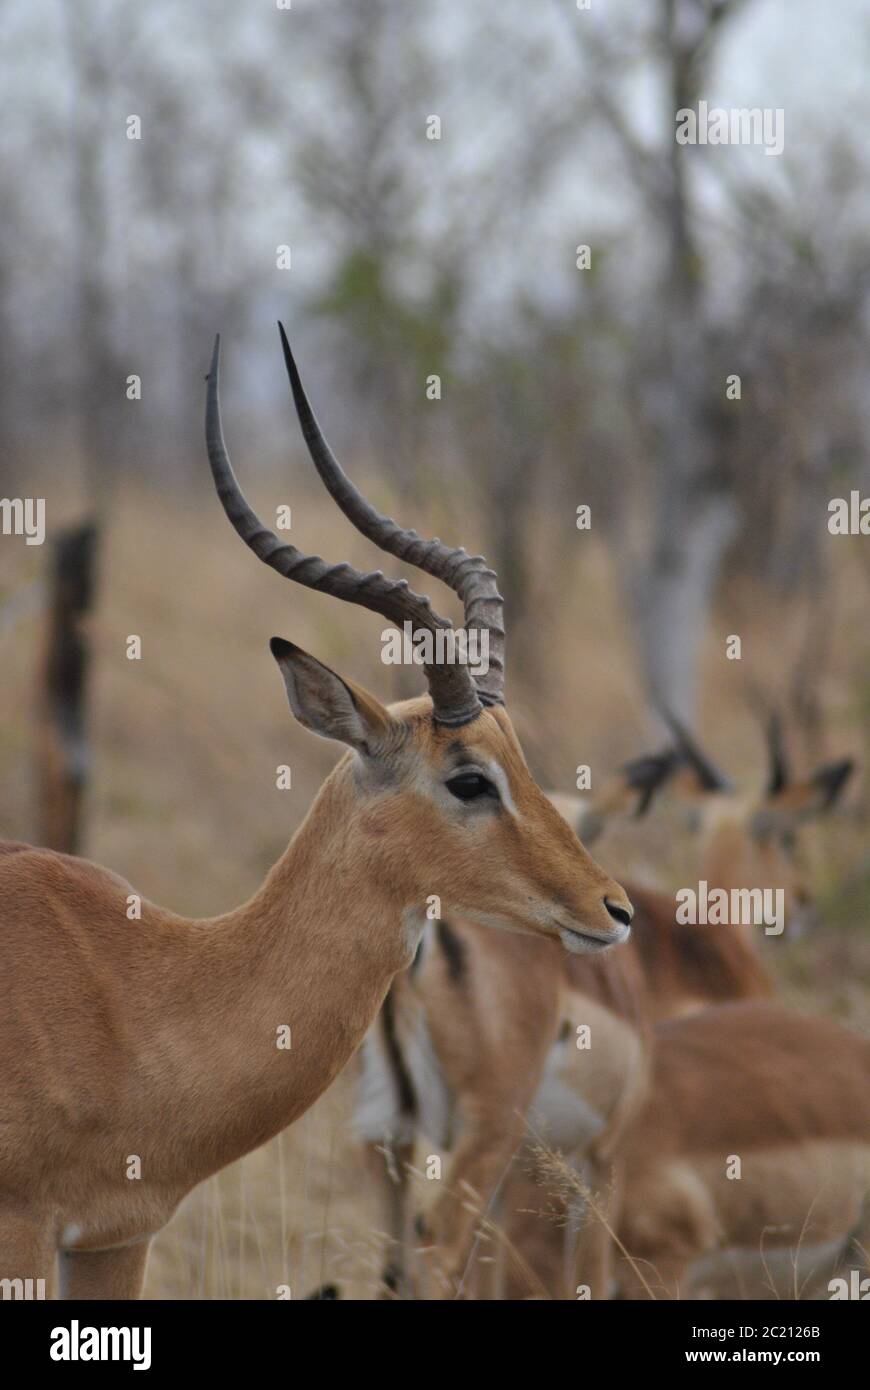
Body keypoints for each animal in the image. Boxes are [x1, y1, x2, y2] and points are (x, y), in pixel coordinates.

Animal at [356, 720, 854, 1298]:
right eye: (790, 836)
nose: (805, 902)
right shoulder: (607, 1151)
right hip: (487, 1130)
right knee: (436, 1243)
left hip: (387, 1136)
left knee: (397, 1261)